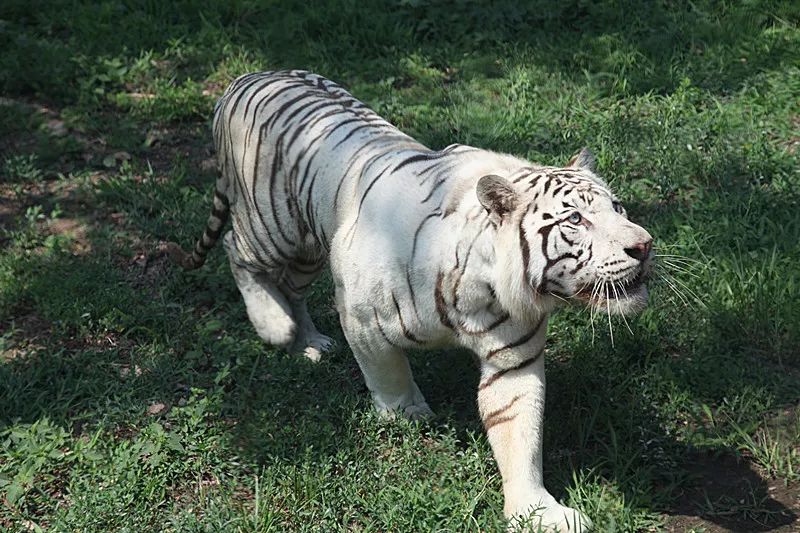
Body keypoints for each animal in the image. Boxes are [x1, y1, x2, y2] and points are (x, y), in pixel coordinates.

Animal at [164, 70, 653, 532]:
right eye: (576, 219)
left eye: (618, 208)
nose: (644, 245)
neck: (481, 287)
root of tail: (245, 78)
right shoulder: (361, 316)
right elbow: (388, 371)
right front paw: (406, 416)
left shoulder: (514, 358)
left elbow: (519, 433)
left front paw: (537, 512)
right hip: (273, 226)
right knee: (237, 249)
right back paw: (273, 324)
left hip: (307, 249)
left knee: (290, 286)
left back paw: (308, 341)